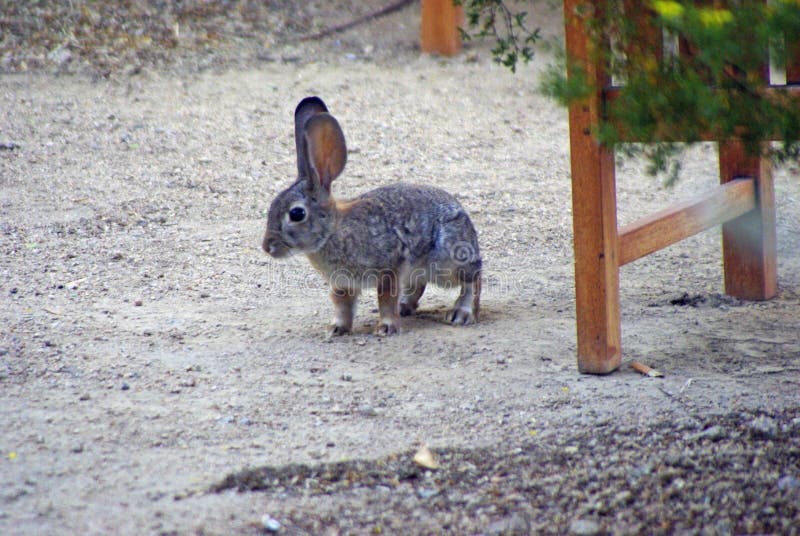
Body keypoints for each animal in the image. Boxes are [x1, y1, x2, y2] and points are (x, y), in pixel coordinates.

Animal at [262, 96, 482, 336]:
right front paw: (337, 328)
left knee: (472, 280)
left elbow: (385, 298)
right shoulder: (343, 283)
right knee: (418, 286)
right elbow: (342, 305)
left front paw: (386, 328)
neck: (333, 231)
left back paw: (462, 313)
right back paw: (405, 308)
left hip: (446, 260)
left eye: (297, 213)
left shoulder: (388, 266)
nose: (267, 247)